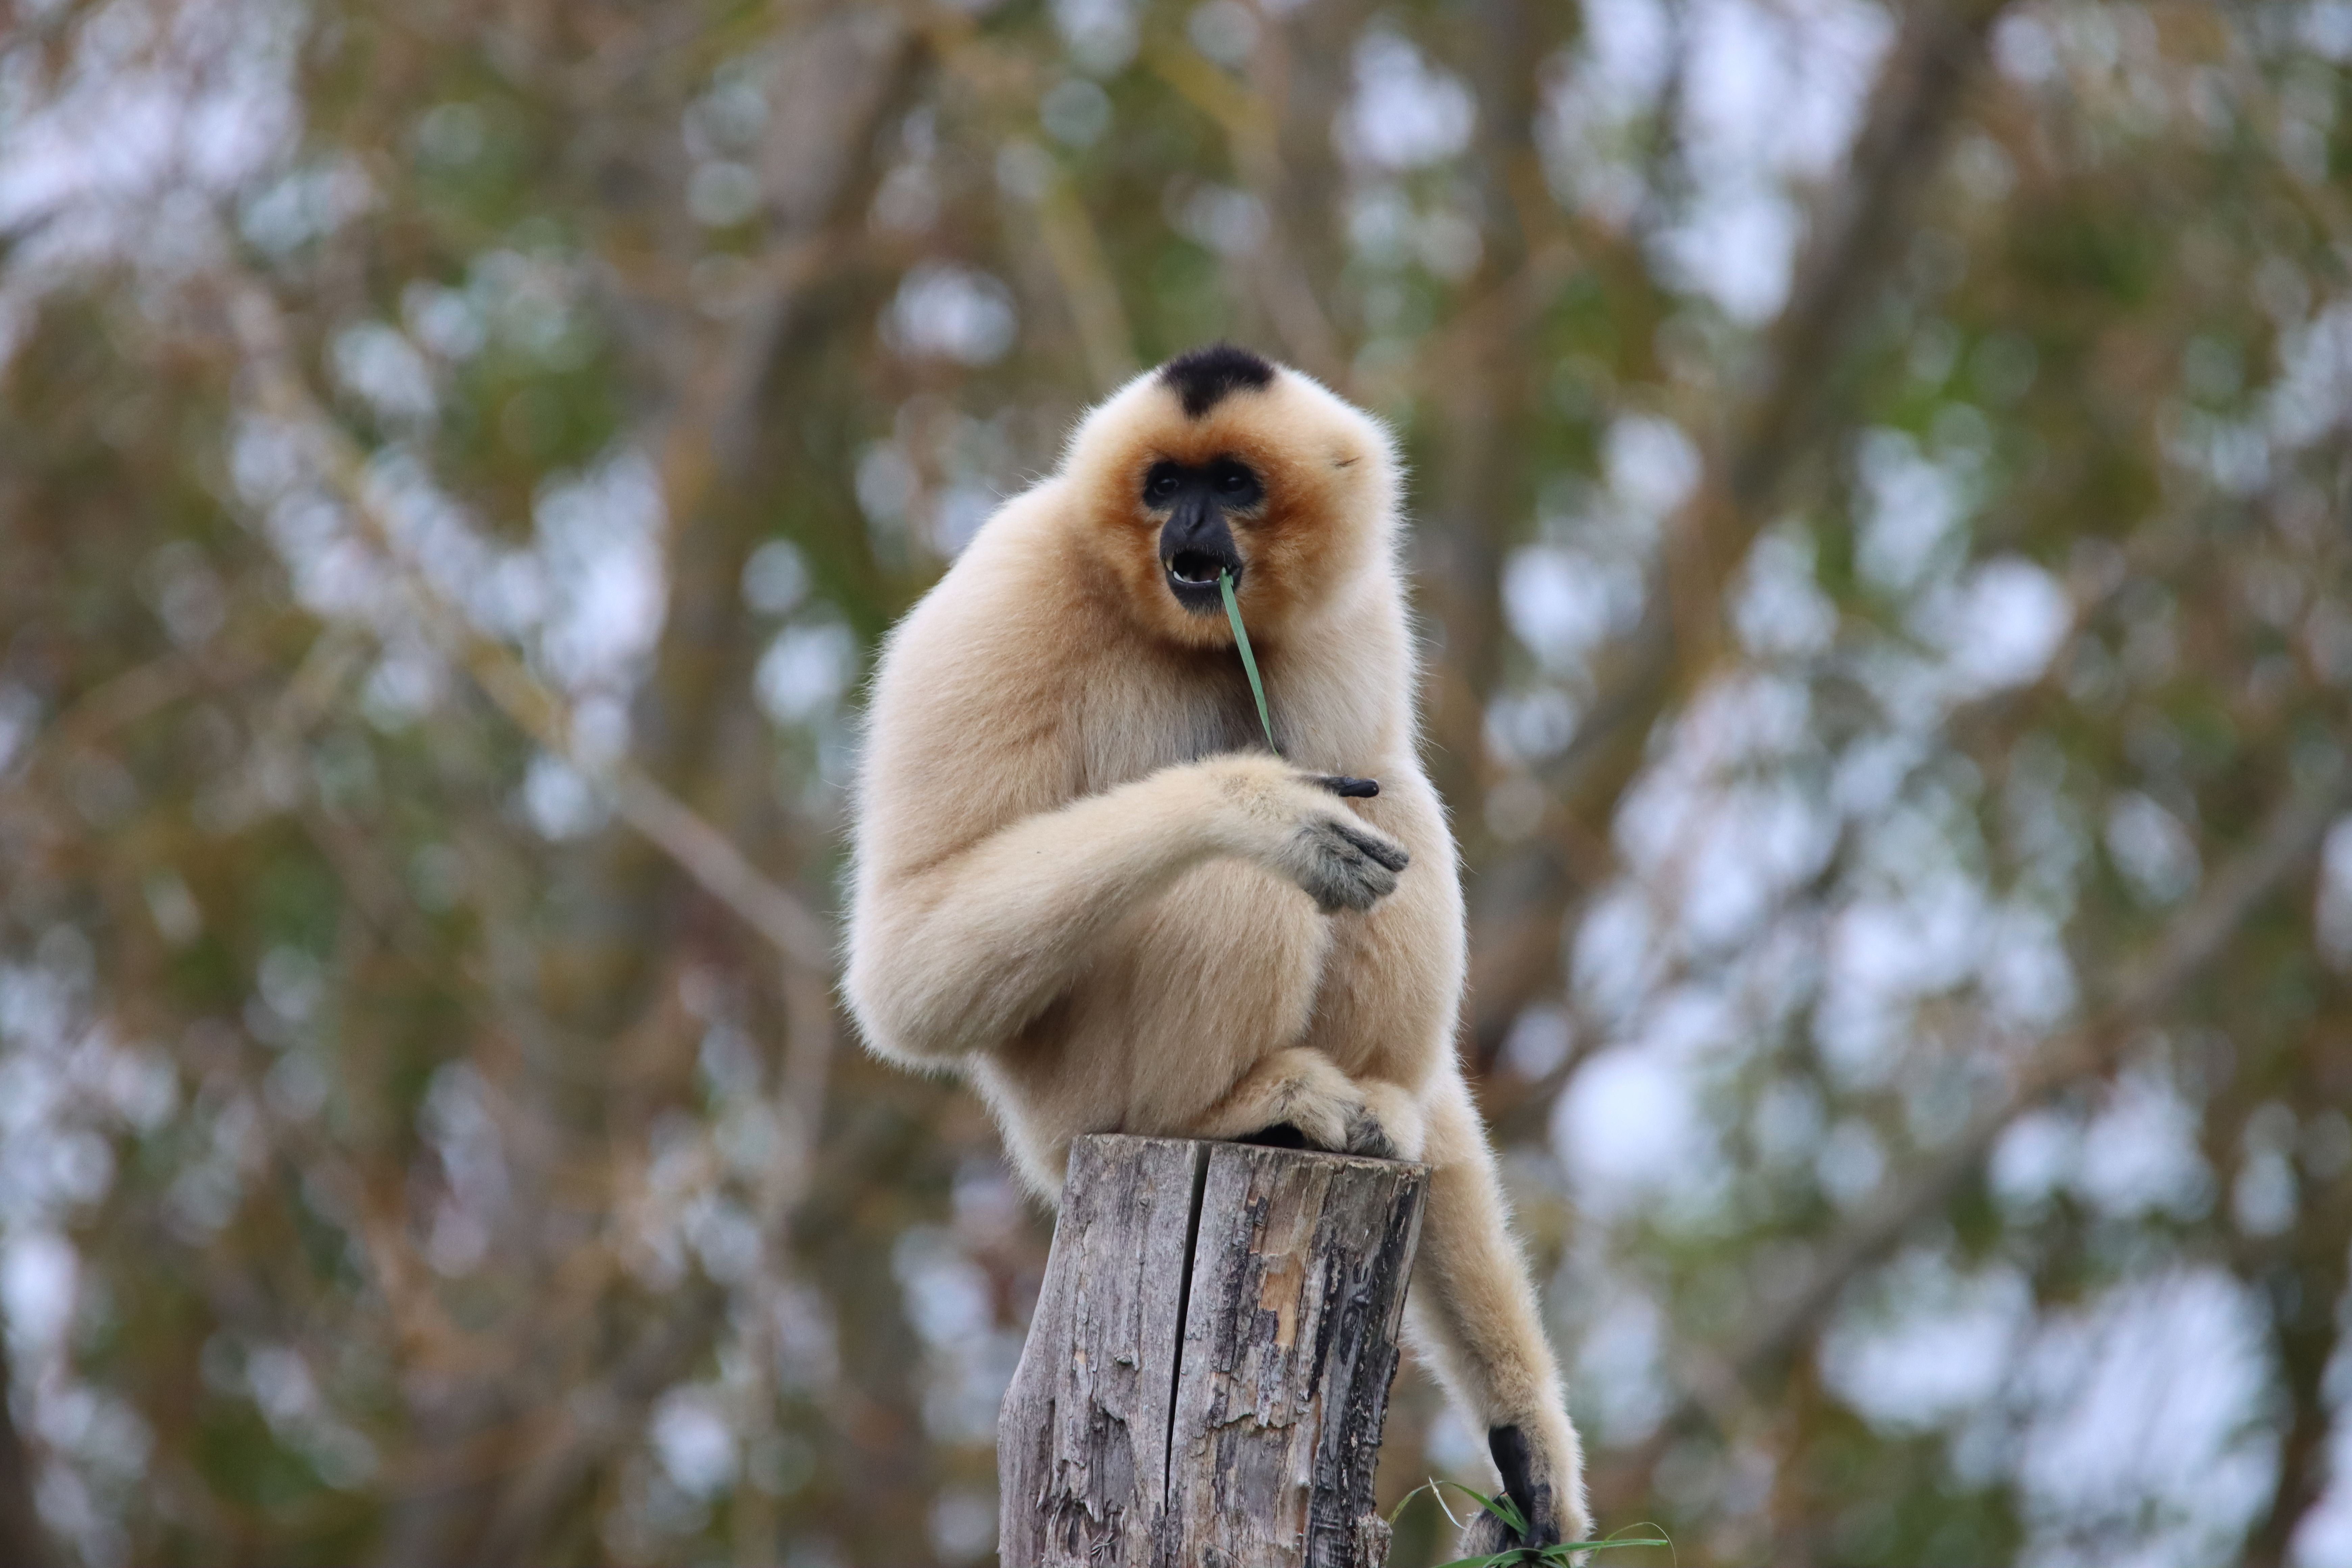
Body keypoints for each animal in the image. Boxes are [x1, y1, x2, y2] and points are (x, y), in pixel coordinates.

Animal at [844, 343, 1588, 1555]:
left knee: (1403, 809)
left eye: (1233, 484)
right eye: (1164, 487)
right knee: (1252, 880)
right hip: (1072, 1103)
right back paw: (1236, 1105)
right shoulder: (1005, 592)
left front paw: (1530, 1446)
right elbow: (907, 970)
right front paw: (1255, 805)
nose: (1190, 525)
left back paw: (1375, 1112)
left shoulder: (1360, 621)